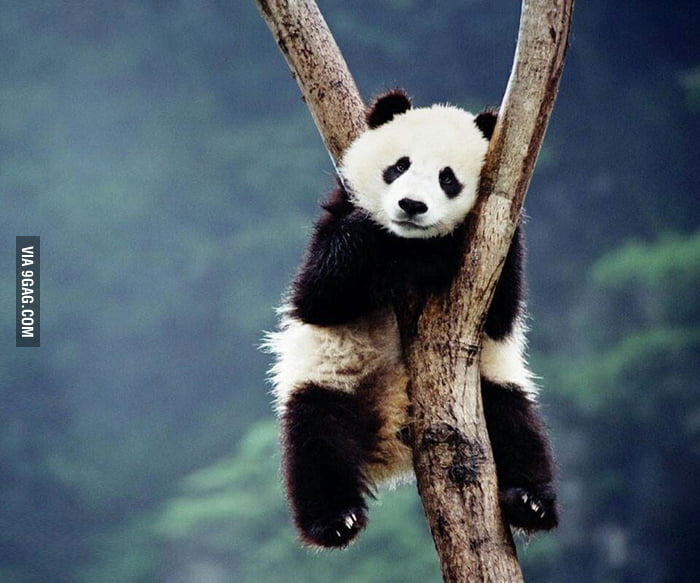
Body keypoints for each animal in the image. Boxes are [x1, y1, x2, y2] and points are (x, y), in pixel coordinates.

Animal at [266, 89, 558, 549]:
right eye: (399, 166)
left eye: (448, 179)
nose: (411, 206)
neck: (409, 244)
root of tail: (392, 441)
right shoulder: (337, 215)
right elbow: (319, 294)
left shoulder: (497, 241)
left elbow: (501, 314)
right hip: (331, 380)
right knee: (315, 442)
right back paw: (336, 520)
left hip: (488, 388)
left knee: (517, 426)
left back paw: (530, 502)